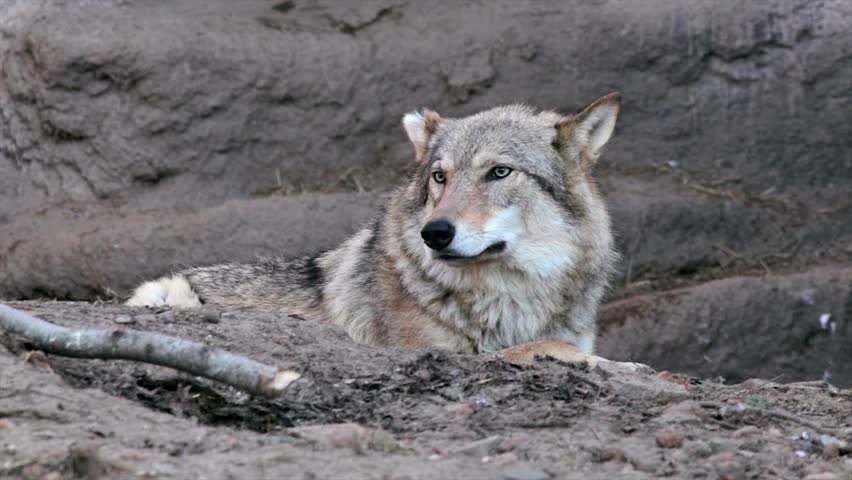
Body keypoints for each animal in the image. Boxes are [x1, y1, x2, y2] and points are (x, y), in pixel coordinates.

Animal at [128, 93, 629, 366]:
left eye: (499, 172)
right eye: (440, 177)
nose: (435, 233)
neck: (514, 299)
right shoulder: (426, 351)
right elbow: (539, 349)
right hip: (170, 292)